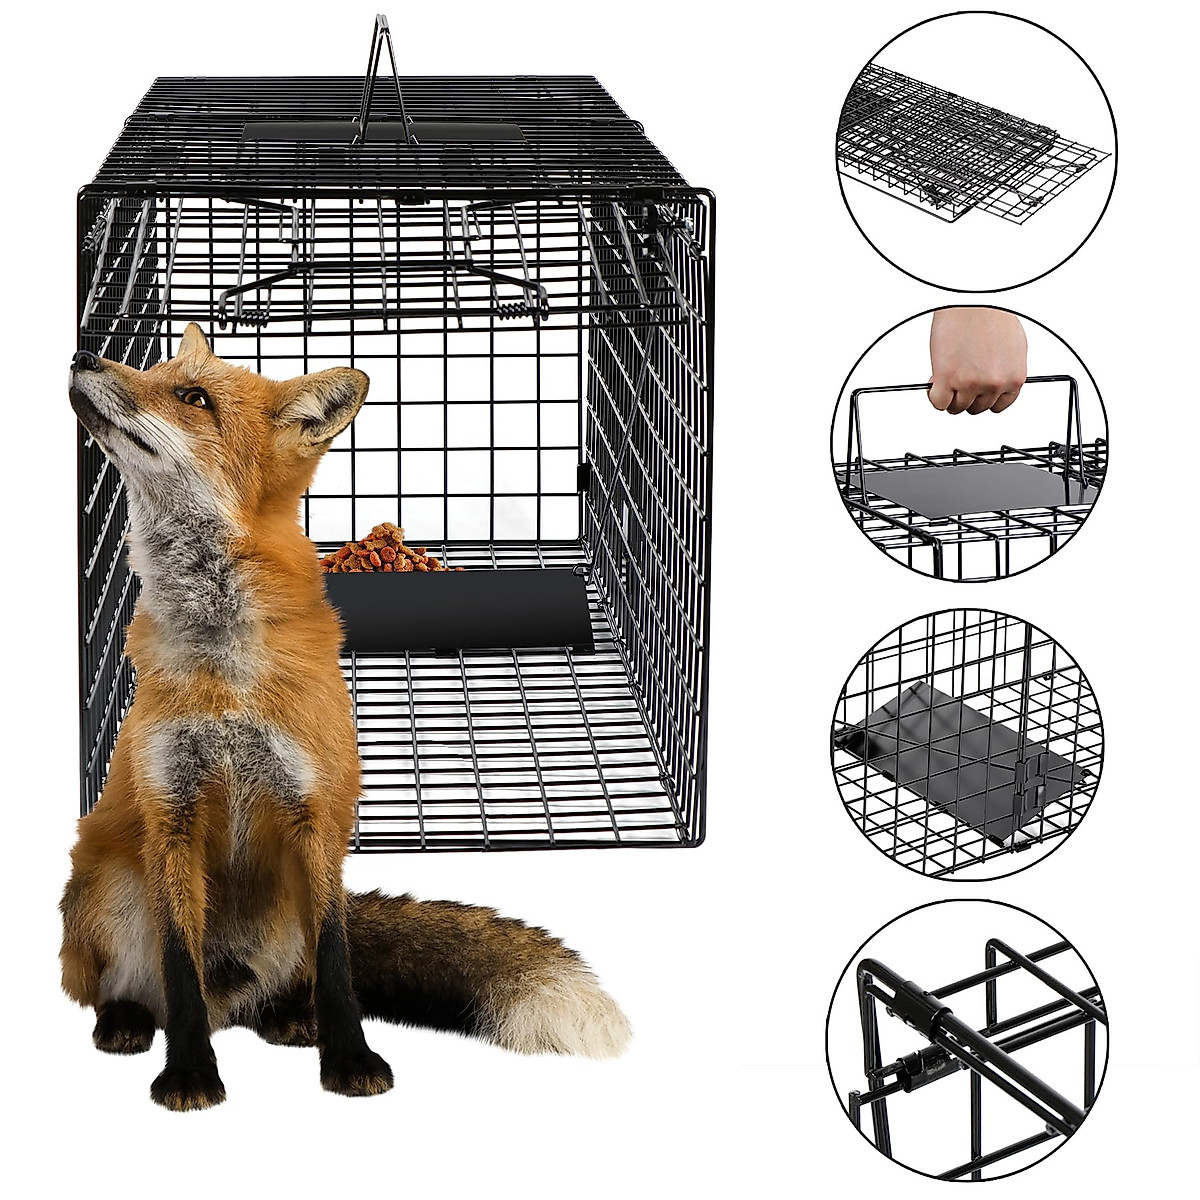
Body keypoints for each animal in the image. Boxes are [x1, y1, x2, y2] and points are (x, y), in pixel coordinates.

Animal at [62, 323, 630, 1111]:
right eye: (155, 369)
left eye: (192, 395)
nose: (84, 354)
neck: (226, 671)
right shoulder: (170, 812)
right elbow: (179, 969)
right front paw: (191, 1076)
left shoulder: (316, 812)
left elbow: (337, 965)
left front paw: (350, 1061)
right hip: (107, 888)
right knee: (141, 989)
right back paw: (126, 1020)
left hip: (285, 911)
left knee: (287, 981)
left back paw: (289, 1018)